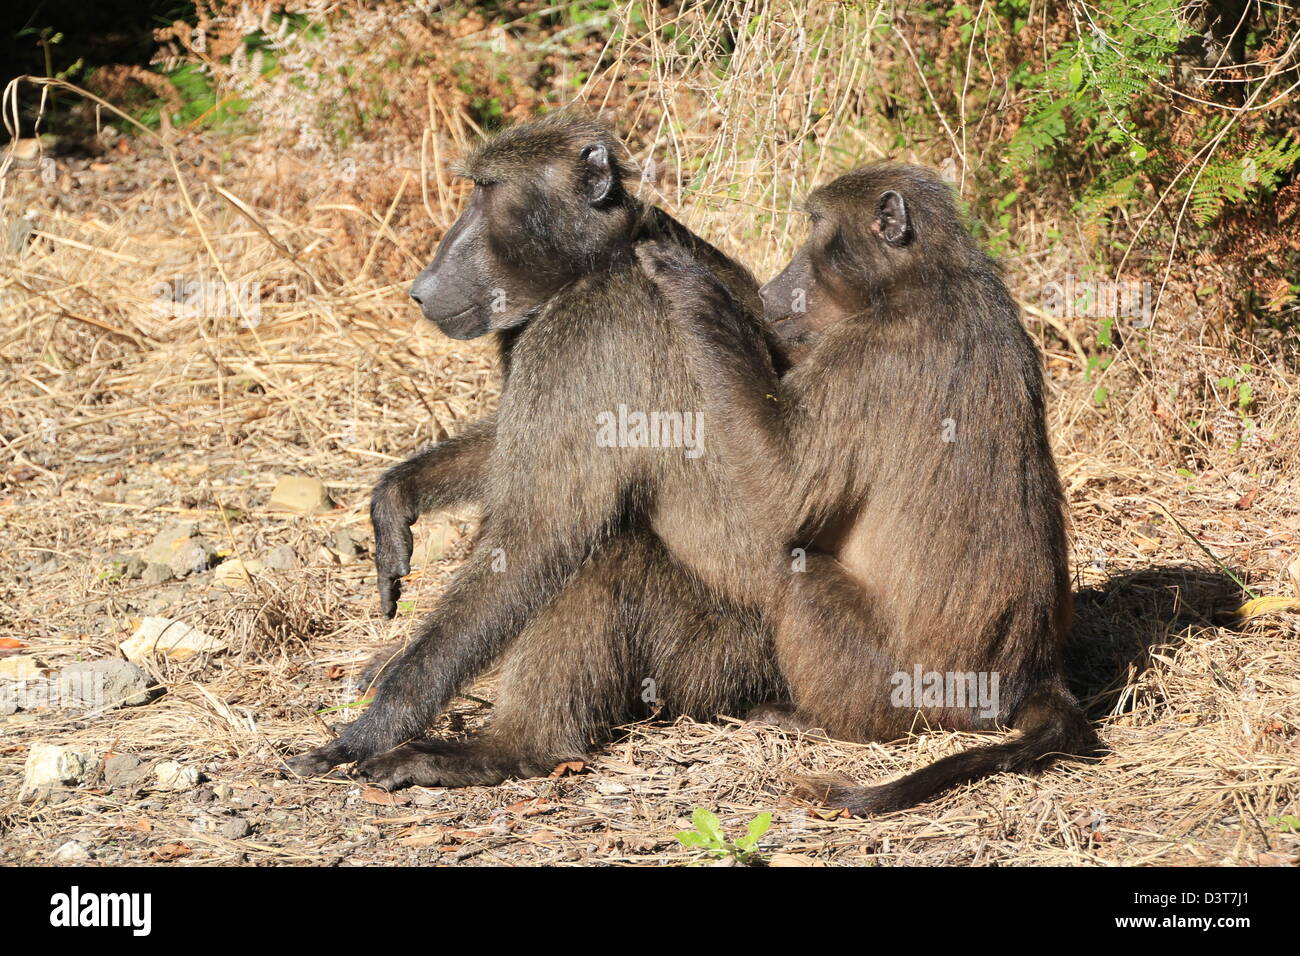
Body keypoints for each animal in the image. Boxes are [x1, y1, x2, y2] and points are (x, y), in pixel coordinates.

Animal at [286, 112, 795, 788]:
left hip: (719, 655)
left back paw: (507, 750)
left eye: (487, 191)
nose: (421, 288)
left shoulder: (589, 332)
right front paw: (393, 502)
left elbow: (534, 541)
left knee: (597, 554)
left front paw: (370, 730)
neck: (606, 257)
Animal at [634, 161, 1099, 816]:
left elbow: (780, 495)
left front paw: (690, 283)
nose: (776, 289)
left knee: (799, 575)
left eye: (814, 228)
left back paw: (810, 720)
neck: (923, 276)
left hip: (897, 688)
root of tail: (1027, 676)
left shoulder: (866, 353)